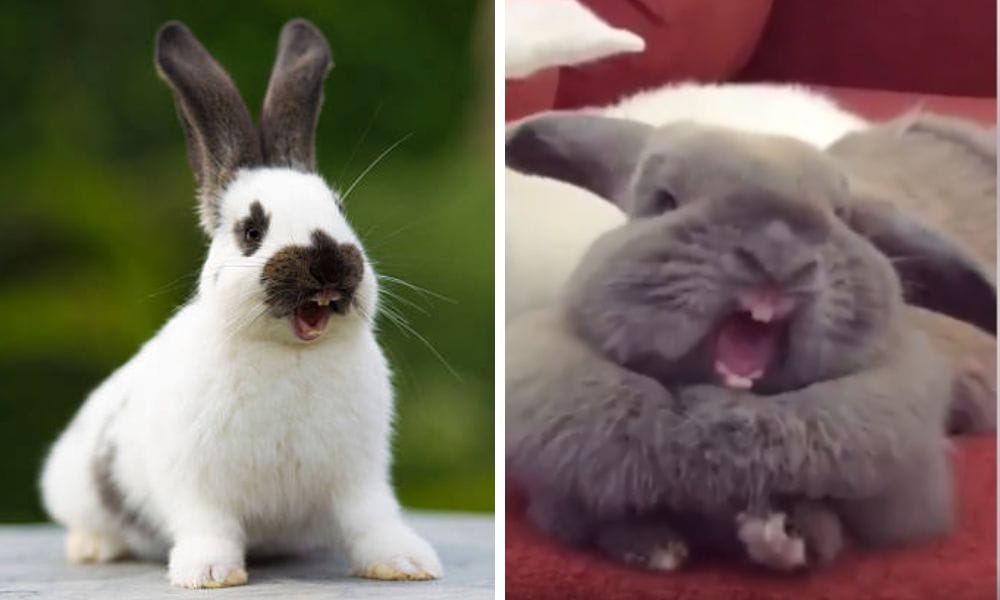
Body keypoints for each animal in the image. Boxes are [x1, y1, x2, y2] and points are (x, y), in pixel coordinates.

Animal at [38, 20, 442, 589]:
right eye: (252, 231)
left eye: (340, 212)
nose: (327, 264)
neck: (292, 356)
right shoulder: (197, 484)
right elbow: (210, 527)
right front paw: (209, 573)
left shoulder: (360, 478)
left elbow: (373, 521)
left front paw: (407, 564)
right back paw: (92, 548)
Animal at [504, 112, 995, 572]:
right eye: (663, 201)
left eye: (842, 216)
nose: (778, 255)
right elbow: (597, 519)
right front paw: (657, 549)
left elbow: (826, 531)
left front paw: (773, 535)